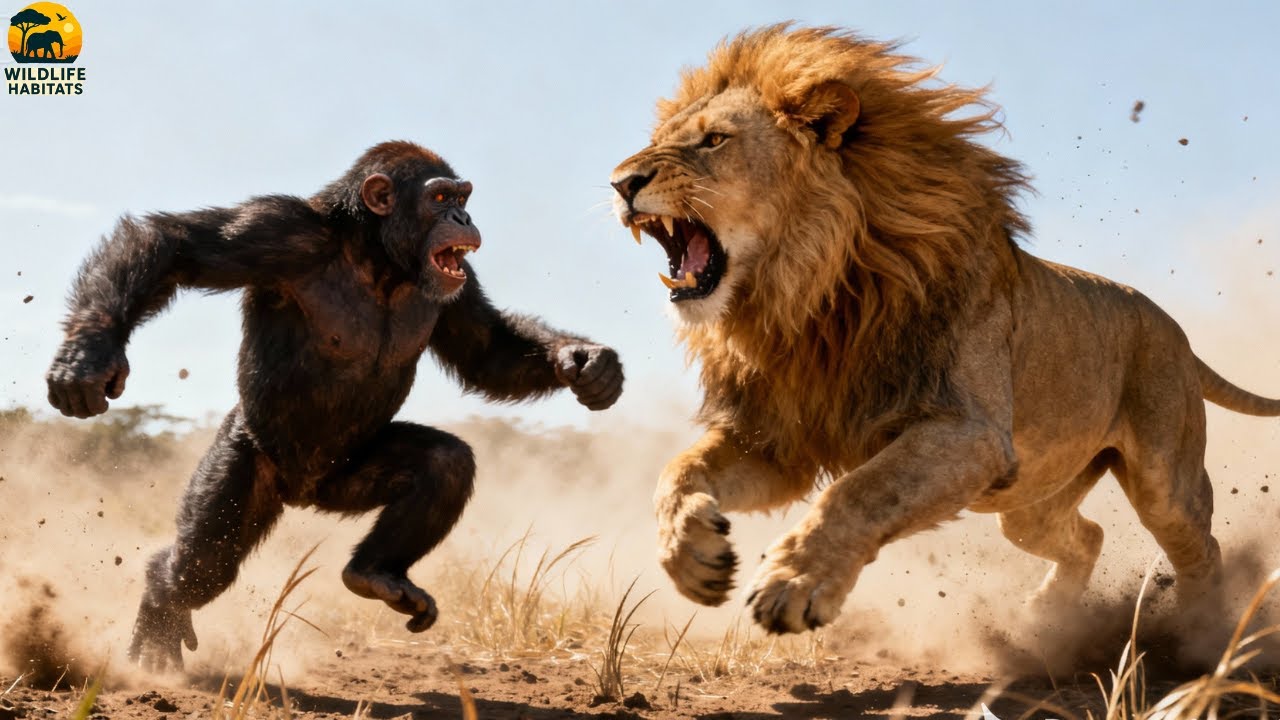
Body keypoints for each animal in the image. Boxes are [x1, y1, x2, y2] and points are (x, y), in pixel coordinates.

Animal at [44, 141, 624, 670]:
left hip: (347, 479)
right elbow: (176, 245)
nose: (463, 217)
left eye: (462, 198)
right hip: (247, 457)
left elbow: (486, 349)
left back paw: (376, 573)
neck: (378, 260)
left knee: (444, 462)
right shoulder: (278, 229)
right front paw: (86, 356)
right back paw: (159, 618)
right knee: (203, 562)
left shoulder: (457, 285)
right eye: (440, 198)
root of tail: (302, 494)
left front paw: (586, 362)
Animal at [609, 24, 1280, 634]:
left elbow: (862, 490)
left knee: (1201, 547)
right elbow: (677, 472)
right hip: (1028, 501)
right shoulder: (777, 441)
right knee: (1087, 534)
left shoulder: (970, 433)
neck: (807, 301)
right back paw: (1047, 616)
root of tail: (1177, 330)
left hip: (1163, 477)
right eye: (658, 142)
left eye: (714, 141)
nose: (620, 183)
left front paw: (793, 583)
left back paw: (1199, 635)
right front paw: (692, 556)